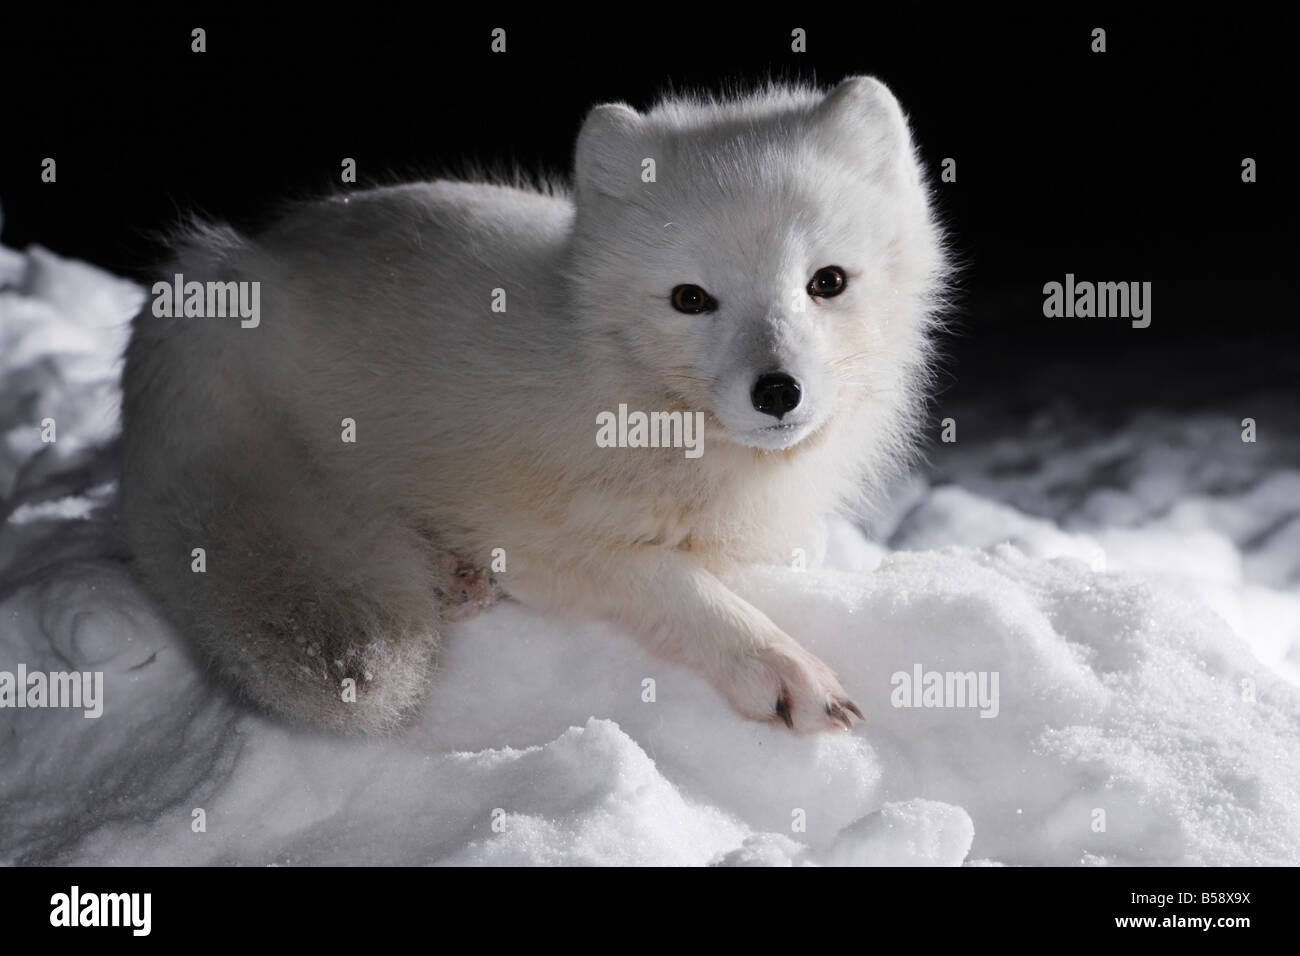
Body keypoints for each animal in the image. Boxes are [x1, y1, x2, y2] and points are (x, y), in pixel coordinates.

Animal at [119, 76, 947, 735]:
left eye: (827, 282)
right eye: (691, 299)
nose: (778, 392)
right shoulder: (531, 533)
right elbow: (673, 583)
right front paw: (779, 665)